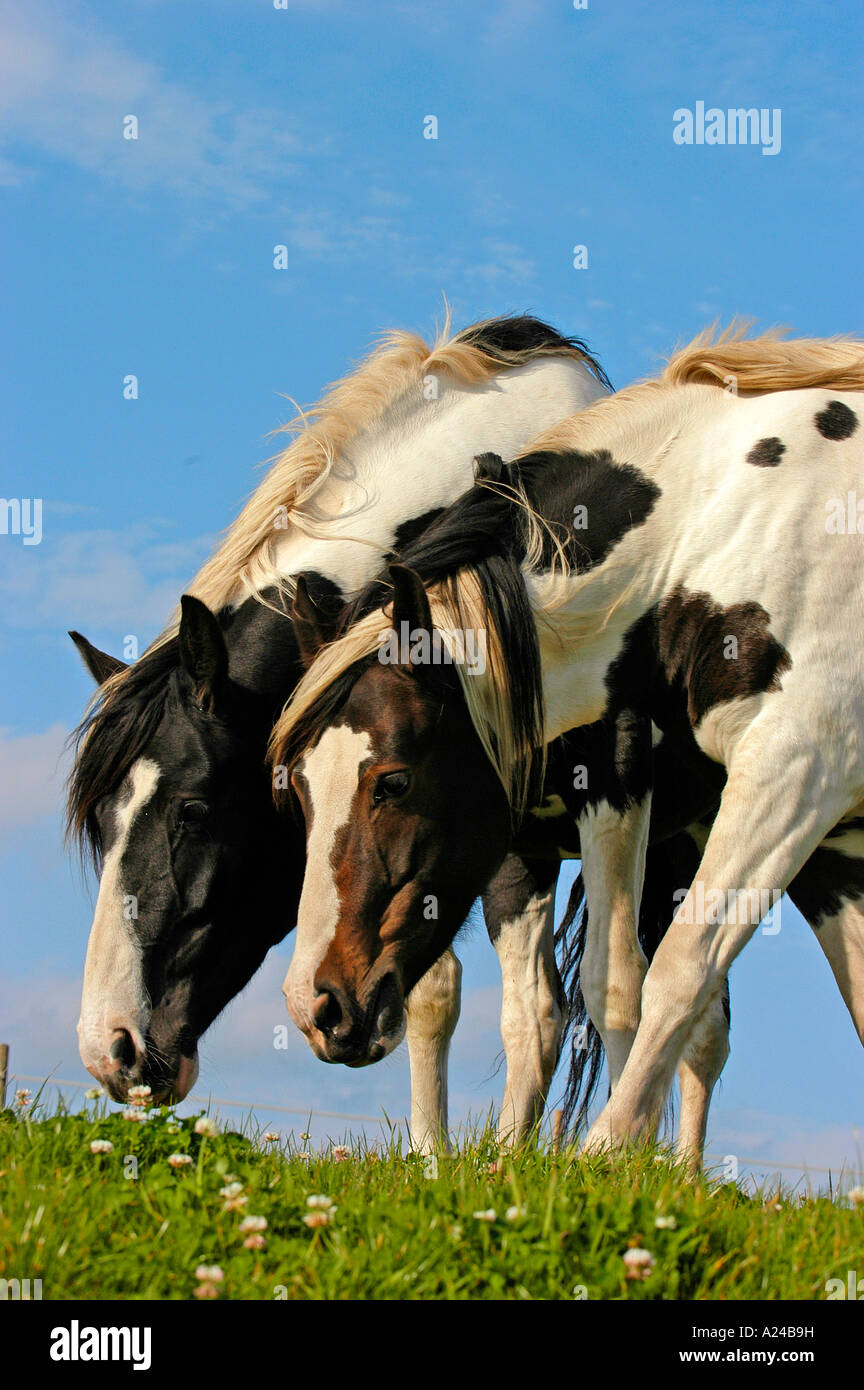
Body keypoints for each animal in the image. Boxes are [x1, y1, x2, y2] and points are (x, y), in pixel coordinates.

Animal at [66, 312, 612, 1150]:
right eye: (100, 823)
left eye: (193, 811)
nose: (111, 1049)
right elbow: (430, 993)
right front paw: (432, 1160)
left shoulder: (496, 838)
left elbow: (521, 1010)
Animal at [270, 324, 864, 1162]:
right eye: (296, 787)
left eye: (393, 781)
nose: (315, 1005)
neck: (735, 525)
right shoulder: (837, 840)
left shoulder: (792, 768)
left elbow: (665, 972)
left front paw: (612, 1156)